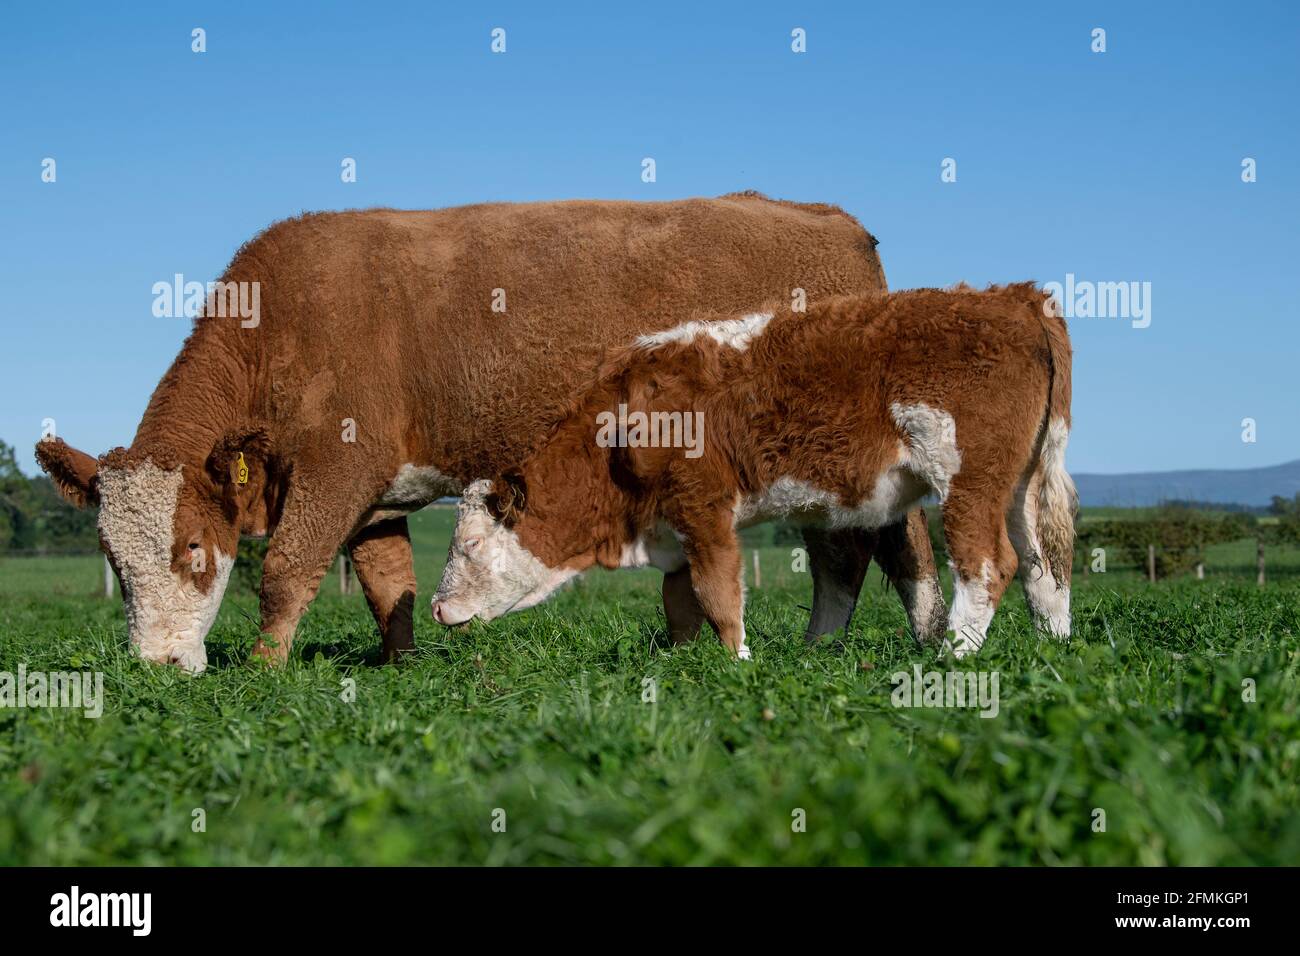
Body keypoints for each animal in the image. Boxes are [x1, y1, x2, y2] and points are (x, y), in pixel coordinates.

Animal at [35, 193, 945, 673]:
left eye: (192, 547)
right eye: (112, 557)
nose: (155, 669)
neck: (281, 325)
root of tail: (829, 218)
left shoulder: (335, 466)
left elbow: (288, 569)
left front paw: (263, 672)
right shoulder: (375, 491)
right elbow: (387, 580)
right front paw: (400, 665)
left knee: (890, 547)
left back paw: (917, 639)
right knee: (844, 550)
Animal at [431, 283, 1076, 658]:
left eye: (468, 544)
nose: (437, 608)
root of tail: (1014, 296)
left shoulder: (702, 506)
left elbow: (717, 594)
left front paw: (737, 666)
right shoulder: (674, 528)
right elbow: (680, 602)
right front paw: (683, 664)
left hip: (967, 477)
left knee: (989, 563)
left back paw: (953, 658)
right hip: (1021, 482)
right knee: (1044, 560)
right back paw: (1055, 647)